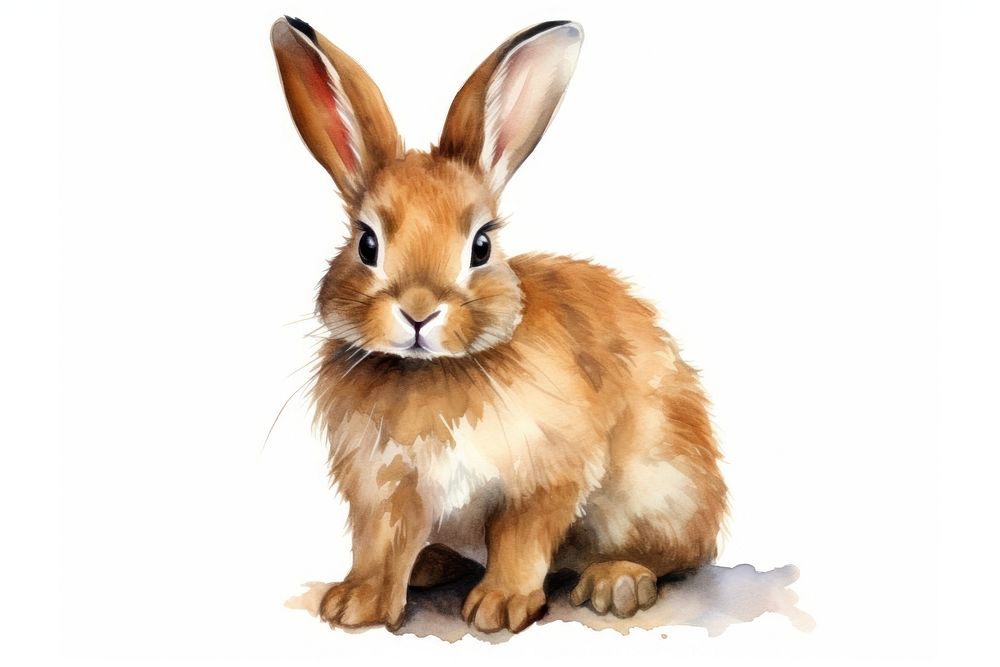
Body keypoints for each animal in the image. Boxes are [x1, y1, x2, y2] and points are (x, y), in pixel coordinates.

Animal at [270, 16, 727, 634]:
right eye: (367, 244)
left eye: (481, 246)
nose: (419, 311)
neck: (430, 372)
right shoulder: (382, 489)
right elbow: (380, 545)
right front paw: (355, 602)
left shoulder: (546, 476)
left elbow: (518, 538)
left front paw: (499, 606)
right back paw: (431, 565)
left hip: (660, 488)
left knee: (676, 553)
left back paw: (616, 582)